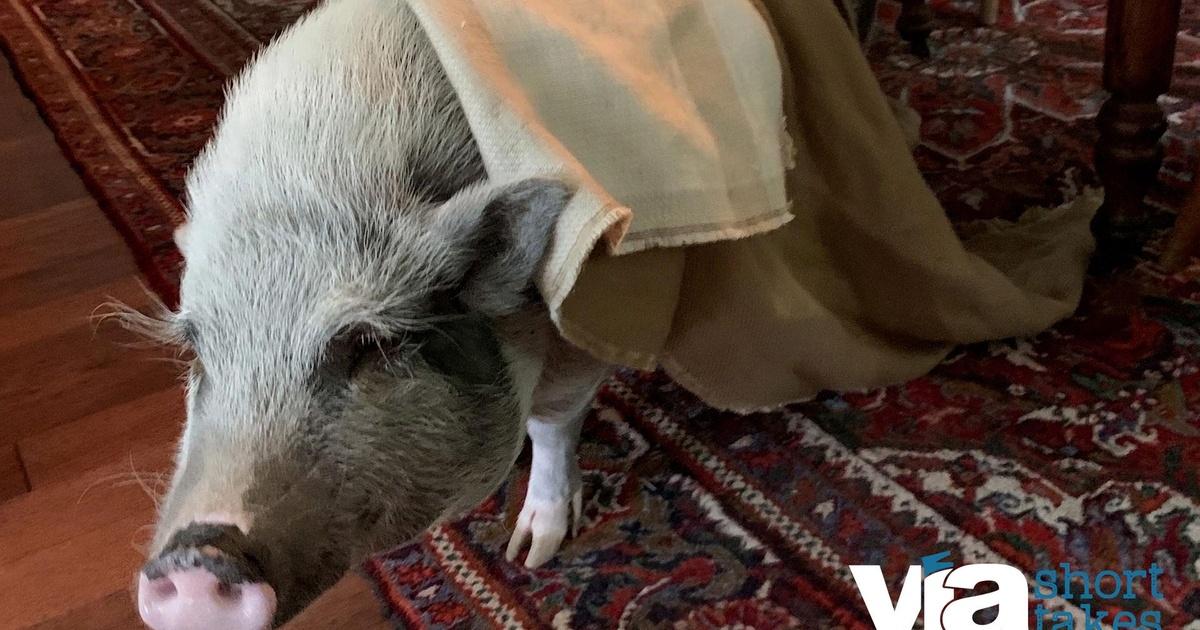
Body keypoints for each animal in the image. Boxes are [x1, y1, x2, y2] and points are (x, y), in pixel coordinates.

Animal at [127, 0, 611, 627]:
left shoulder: (585, 326)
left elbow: (553, 424)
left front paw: (530, 554)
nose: (195, 562)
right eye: (198, 353)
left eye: (370, 346)